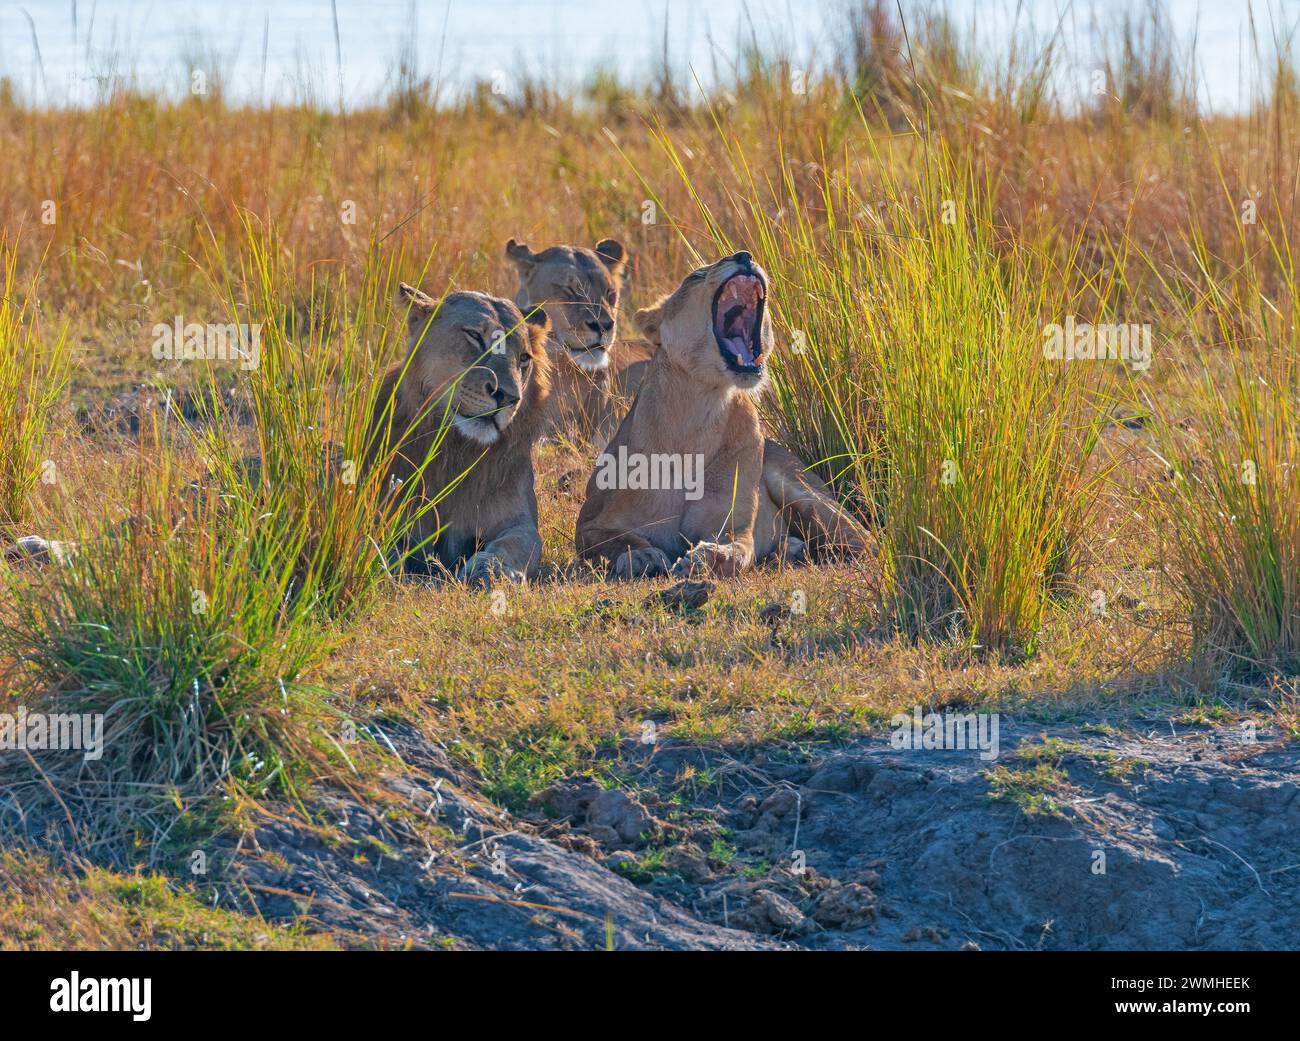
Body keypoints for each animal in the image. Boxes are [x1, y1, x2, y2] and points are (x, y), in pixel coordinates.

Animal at [370, 283, 553, 586]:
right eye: (475, 337)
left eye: (524, 358)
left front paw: (491, 569)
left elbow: (517, 544)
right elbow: (375, 541)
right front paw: (382, 567)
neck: (457, 449)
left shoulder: (519, 522)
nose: (509, 397)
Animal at [575, 251, 872, 579]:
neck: (699, 412)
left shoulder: (734, 524)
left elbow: (739, 549)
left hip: (801, 490)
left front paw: (708, 557)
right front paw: (642, 555)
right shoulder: (589, 521)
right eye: (694, 276)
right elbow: (608, 539)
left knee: (864, 540)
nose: (745, 256)